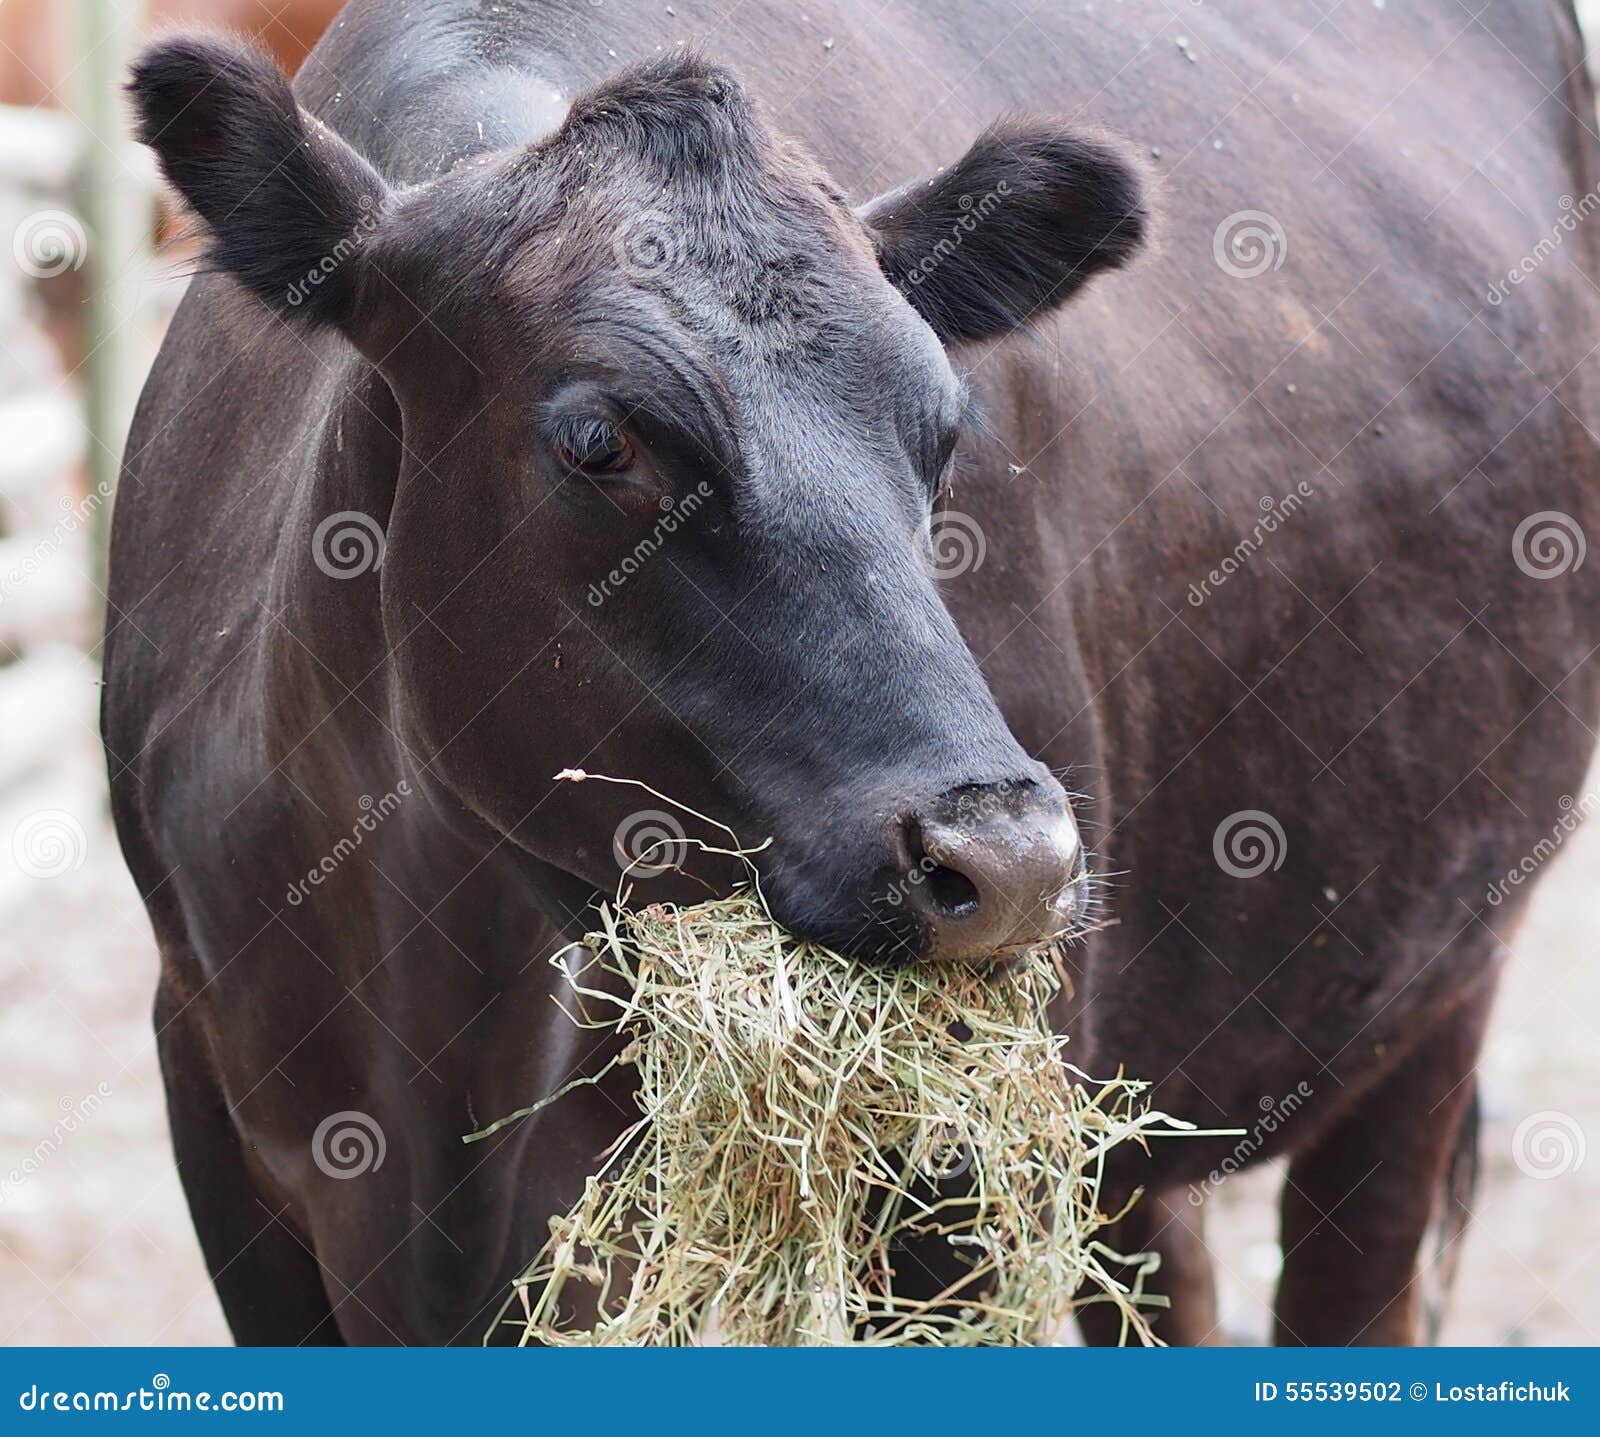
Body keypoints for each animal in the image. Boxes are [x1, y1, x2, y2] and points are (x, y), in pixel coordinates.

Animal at [103, 0, 1600, 1345]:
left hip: (1438, 982)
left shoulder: (952, 1171)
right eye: (598, 442)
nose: (1010, 861)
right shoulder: (219, 1120)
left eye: (942, 433)